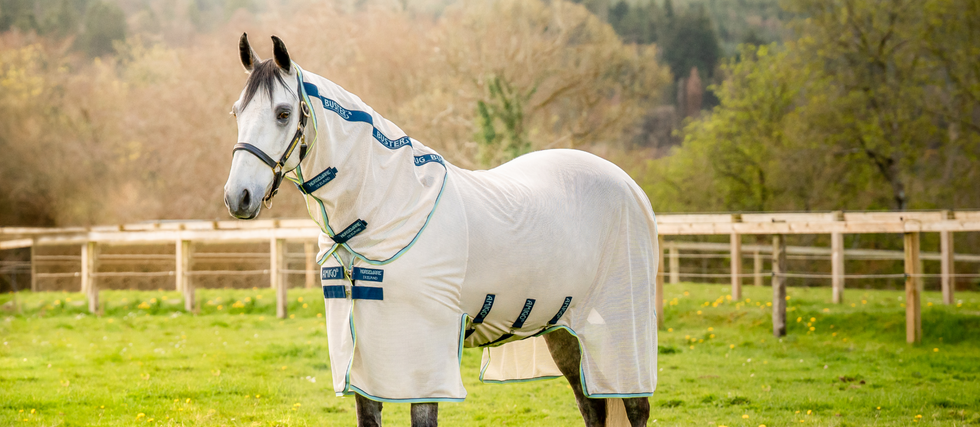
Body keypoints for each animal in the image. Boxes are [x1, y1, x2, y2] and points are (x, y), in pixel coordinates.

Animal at [223, 34, 659, 427]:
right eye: (237, 112)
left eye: (283, 113)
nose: (238, 197)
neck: (389, 207)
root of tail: (629, 185)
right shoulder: (364, 358)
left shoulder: (423, 358)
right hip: (566, 331)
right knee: (591, 407)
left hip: (621, 335)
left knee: (635, 407)